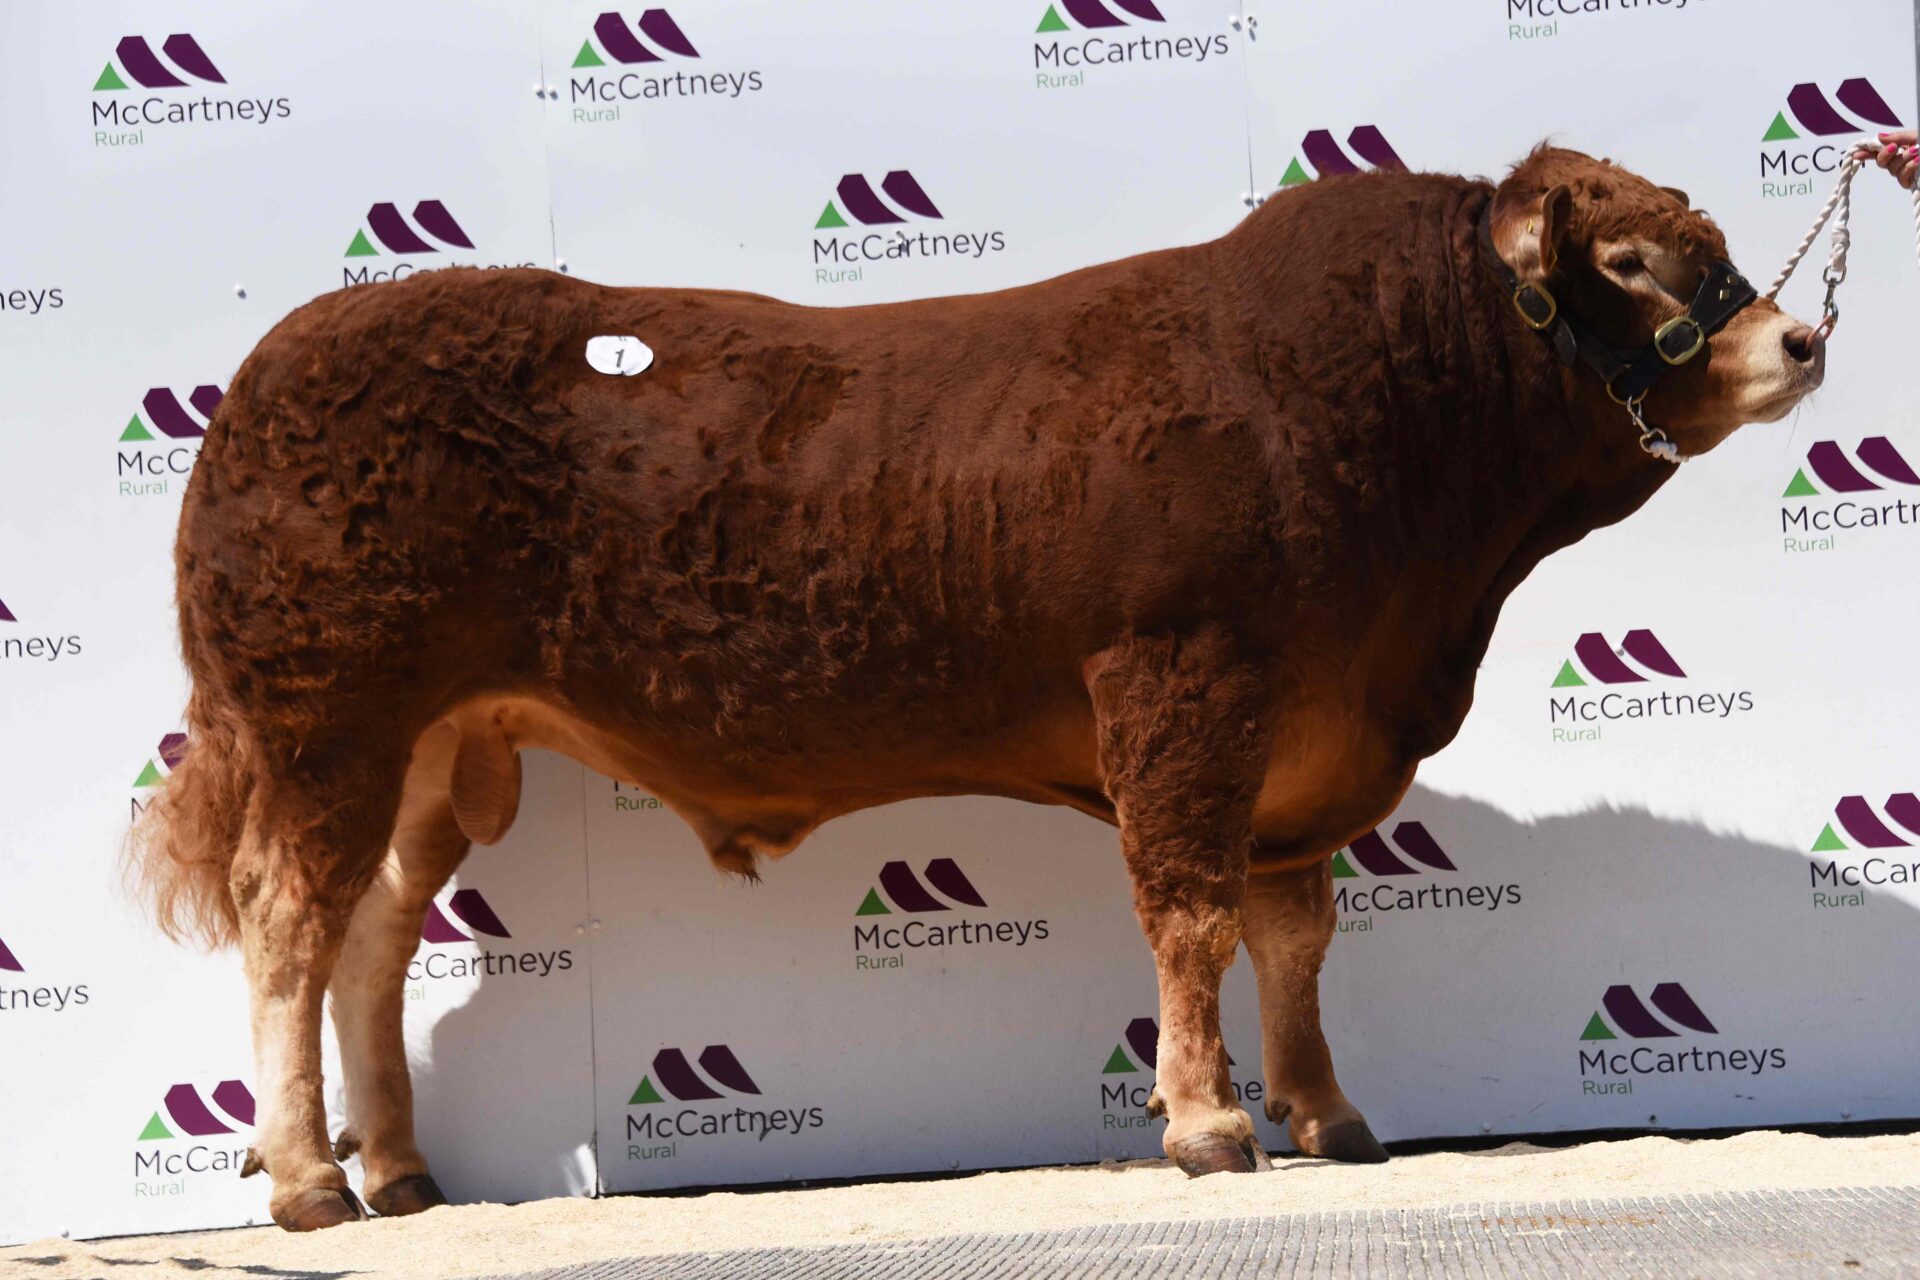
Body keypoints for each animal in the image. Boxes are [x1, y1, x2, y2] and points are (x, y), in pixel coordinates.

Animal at [131, 145, 1824, 1230]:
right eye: (1624, 262)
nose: (1801, 335)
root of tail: (286, 362)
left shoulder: (1306, 738)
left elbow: (1295, 934)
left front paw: (1331, 1118)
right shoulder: (1183, 687)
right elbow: (1193, 916)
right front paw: (1211, 1126)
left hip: (429, 744)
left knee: (369, 936)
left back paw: (399, 1172)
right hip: (325, 717)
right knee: (288, 922)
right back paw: (307, 1181)